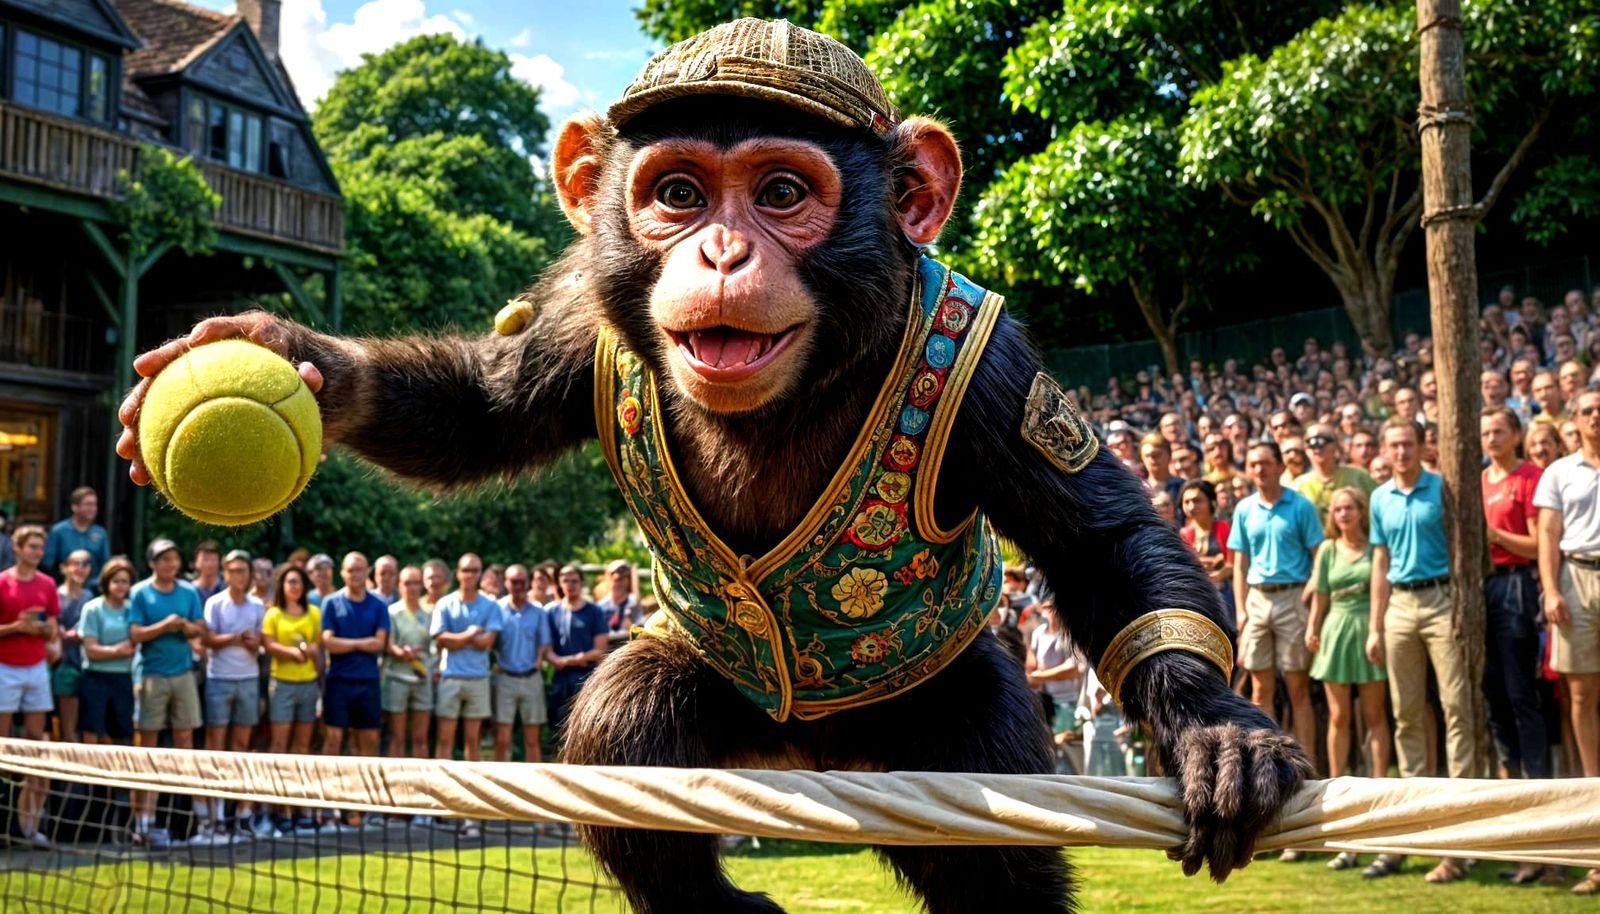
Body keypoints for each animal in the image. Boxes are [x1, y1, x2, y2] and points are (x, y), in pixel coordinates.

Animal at [118, 20, 1310, 914]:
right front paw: (296, 358)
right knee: (621, 723)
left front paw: (1213, 725)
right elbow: (487, 406)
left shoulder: (992, 373)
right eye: (679, 193)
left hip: (943, 715)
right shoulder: (581, 320)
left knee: (993, 854)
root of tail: (813, 762)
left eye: (781, 191)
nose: (723, 251)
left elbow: (1096, 540)